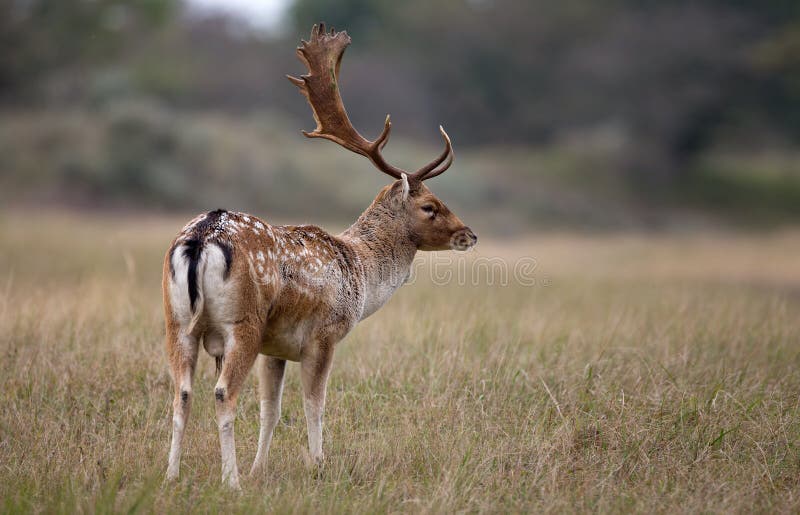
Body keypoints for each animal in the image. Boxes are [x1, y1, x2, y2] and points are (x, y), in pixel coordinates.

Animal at [163, 23, 477, 488]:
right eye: (430, 206)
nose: (469, 234)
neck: (361, 270)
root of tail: (202, 238)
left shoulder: (275, 349)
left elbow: (271, 411)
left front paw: (261, 469)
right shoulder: (323, 335)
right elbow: (315, 404)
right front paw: (318, 466)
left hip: (177, 321)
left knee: (182, 392)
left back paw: (170, 475)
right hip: (244, 323)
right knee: (222, 392)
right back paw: (230, 481)